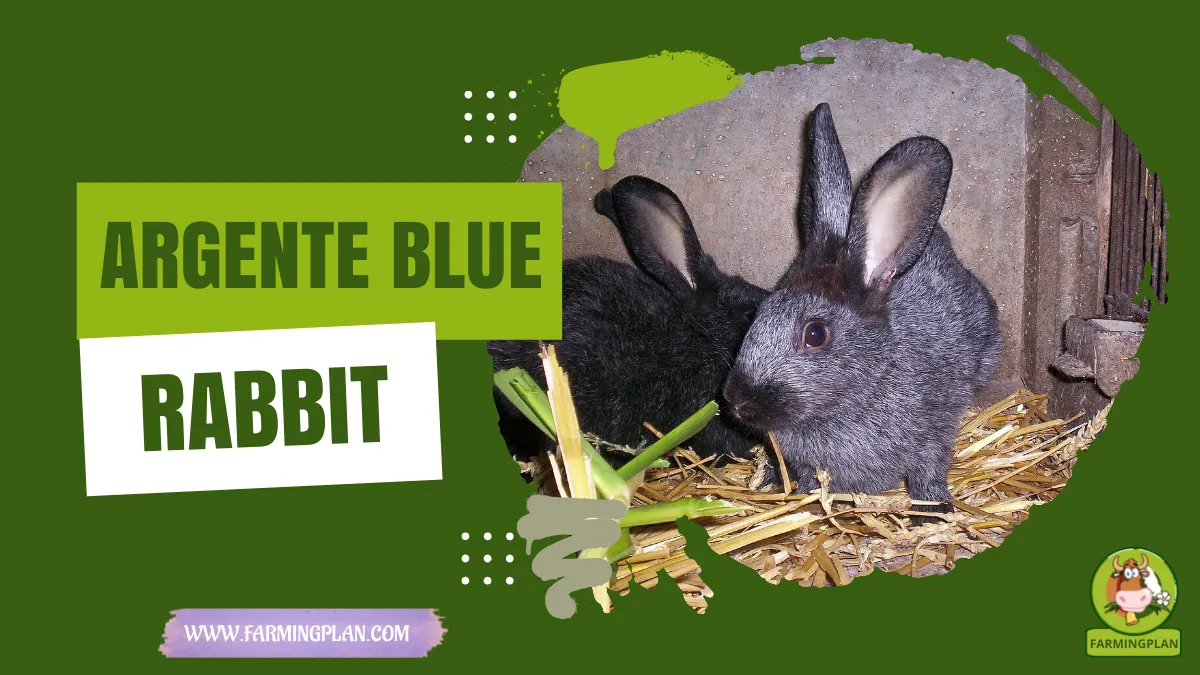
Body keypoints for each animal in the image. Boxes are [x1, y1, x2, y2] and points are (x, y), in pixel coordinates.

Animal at [722, 103, 1002, 522]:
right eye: (758, 312)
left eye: (815, 334)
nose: (737, 402)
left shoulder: (932, 436)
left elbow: (929, 473)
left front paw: (933, 512)